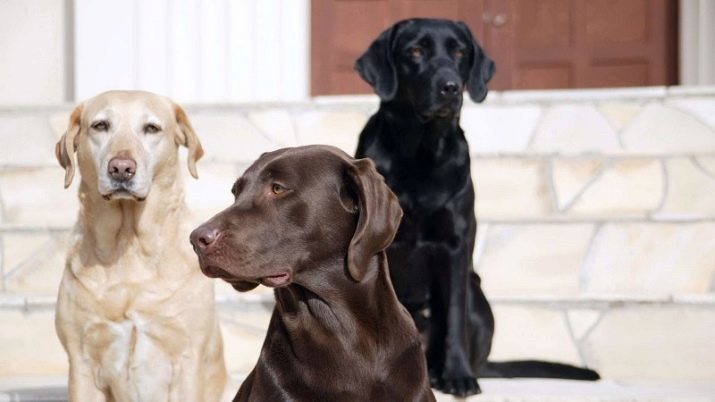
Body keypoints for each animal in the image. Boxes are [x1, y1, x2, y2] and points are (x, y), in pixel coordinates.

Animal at [55, 91, 228, 402]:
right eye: (100, 125)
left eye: (152, 128)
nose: (121, 168)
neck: (129, 244)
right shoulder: (81, 361)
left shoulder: (187, 360)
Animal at [356, 18, 600, 396]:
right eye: (415, 51)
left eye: (459, 52)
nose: (450, 88)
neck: (421, 151)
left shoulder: (456, 246)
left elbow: (455, 316)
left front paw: (459, 377)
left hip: (477, 294)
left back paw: (445, 373)